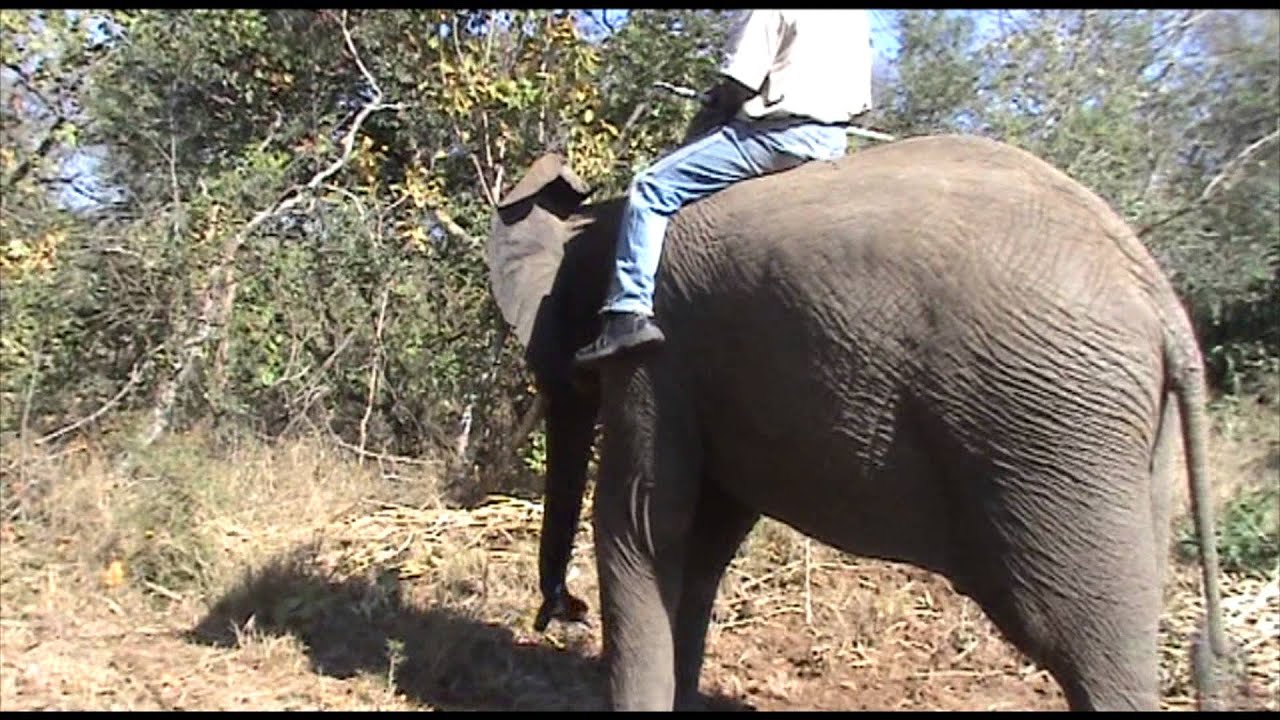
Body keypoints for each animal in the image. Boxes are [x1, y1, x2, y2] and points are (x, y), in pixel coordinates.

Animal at [485, 133, 1230, 711]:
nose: (564, 611)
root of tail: (1162, 304)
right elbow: (704, 545)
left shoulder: (655, 352)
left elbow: (641, 526)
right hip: (1122, 440)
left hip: (1053, 424)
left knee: (1075, 636)